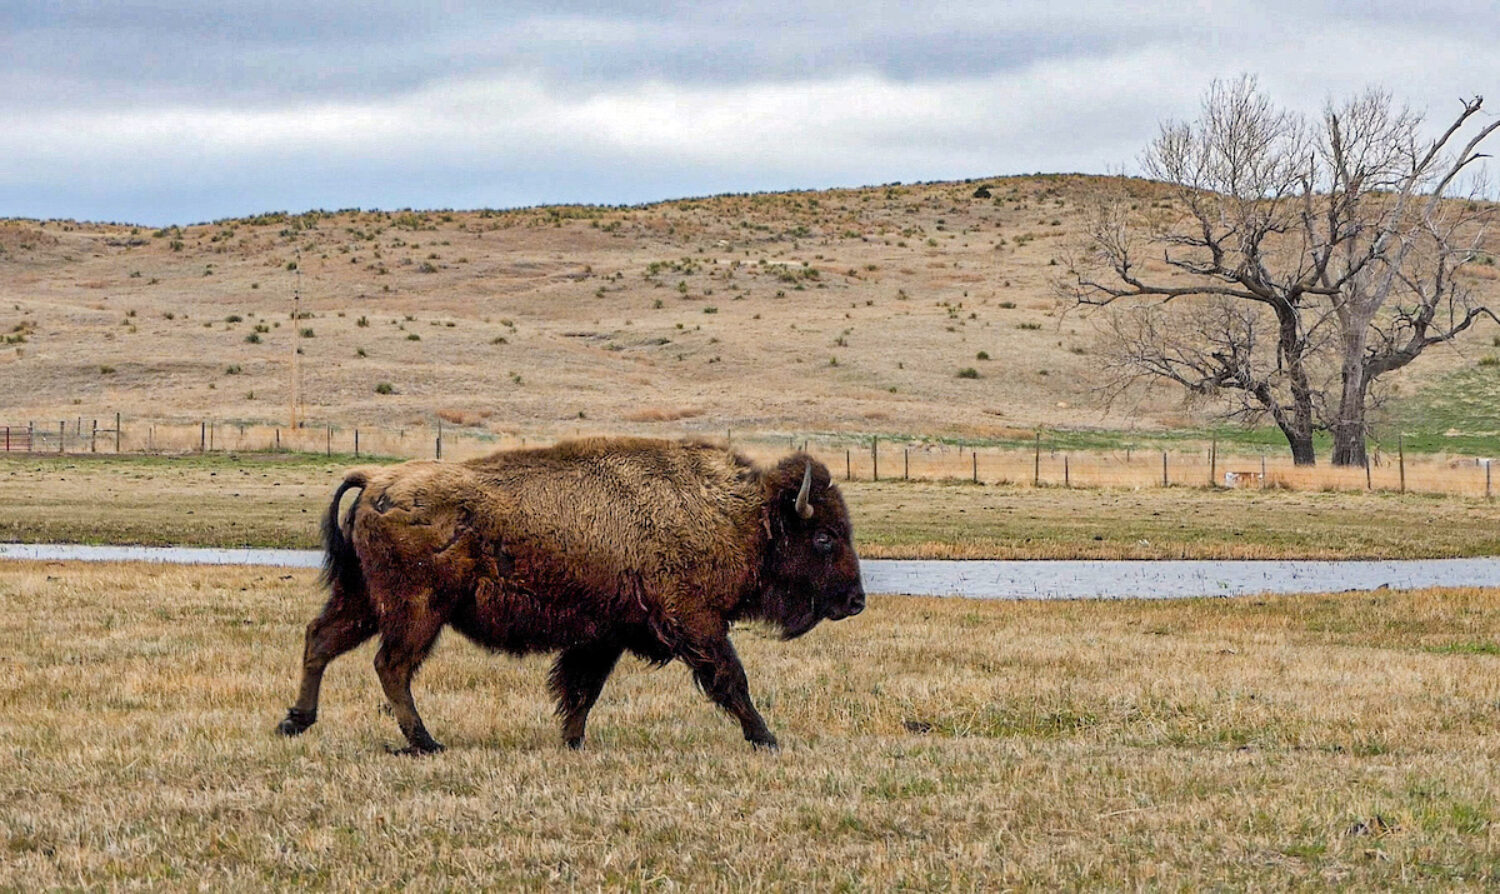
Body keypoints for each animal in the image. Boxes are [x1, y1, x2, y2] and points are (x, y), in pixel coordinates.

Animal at [276, 437, 864, 753]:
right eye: (824, 537)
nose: (856, 601)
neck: (741, 514)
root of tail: (375, 482)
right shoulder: (695, 622)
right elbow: (731, 679)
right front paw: (767, 738)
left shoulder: (605, 635)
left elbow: (581, 690)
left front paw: (572, 740)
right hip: (417, 610)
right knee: (391, 665)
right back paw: (425, 742)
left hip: (363, 601)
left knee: (320, 640)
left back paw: (295, 722)